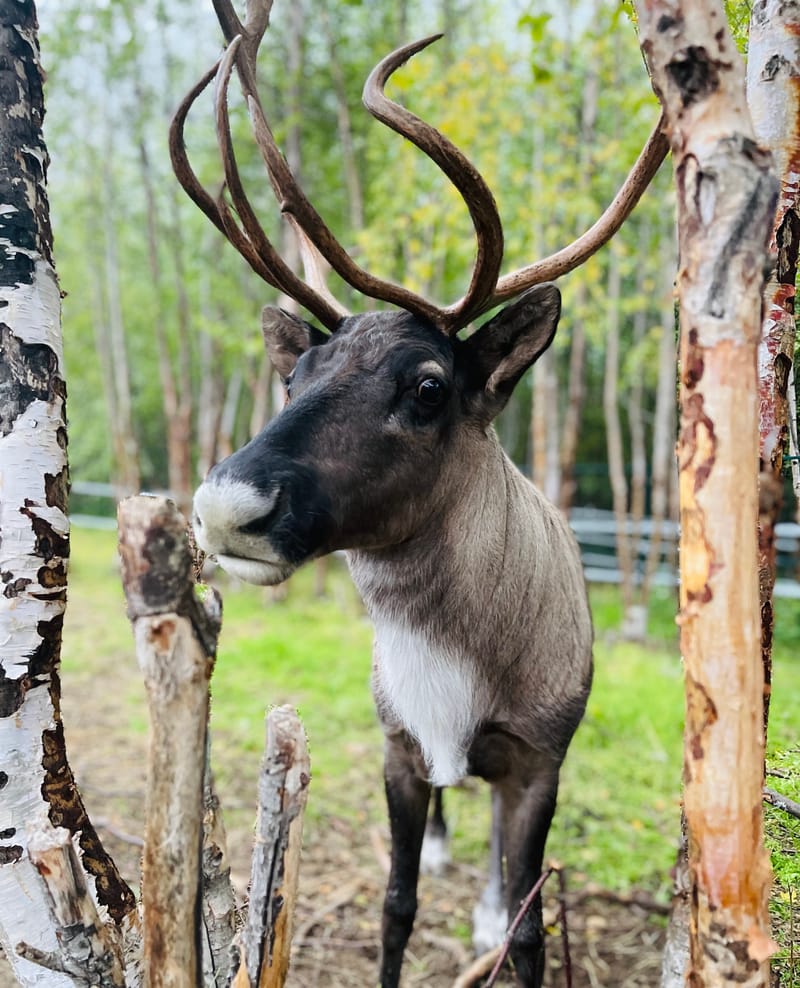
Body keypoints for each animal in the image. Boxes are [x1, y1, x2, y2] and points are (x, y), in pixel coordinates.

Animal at [171, 5, 667, 985]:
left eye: (430, 386)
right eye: (297, 377)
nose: (225, 506)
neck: (458, 671)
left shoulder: (539, 761)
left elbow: (530, 930)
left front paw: (496, 919)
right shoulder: (397, 749)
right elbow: (394, 905)